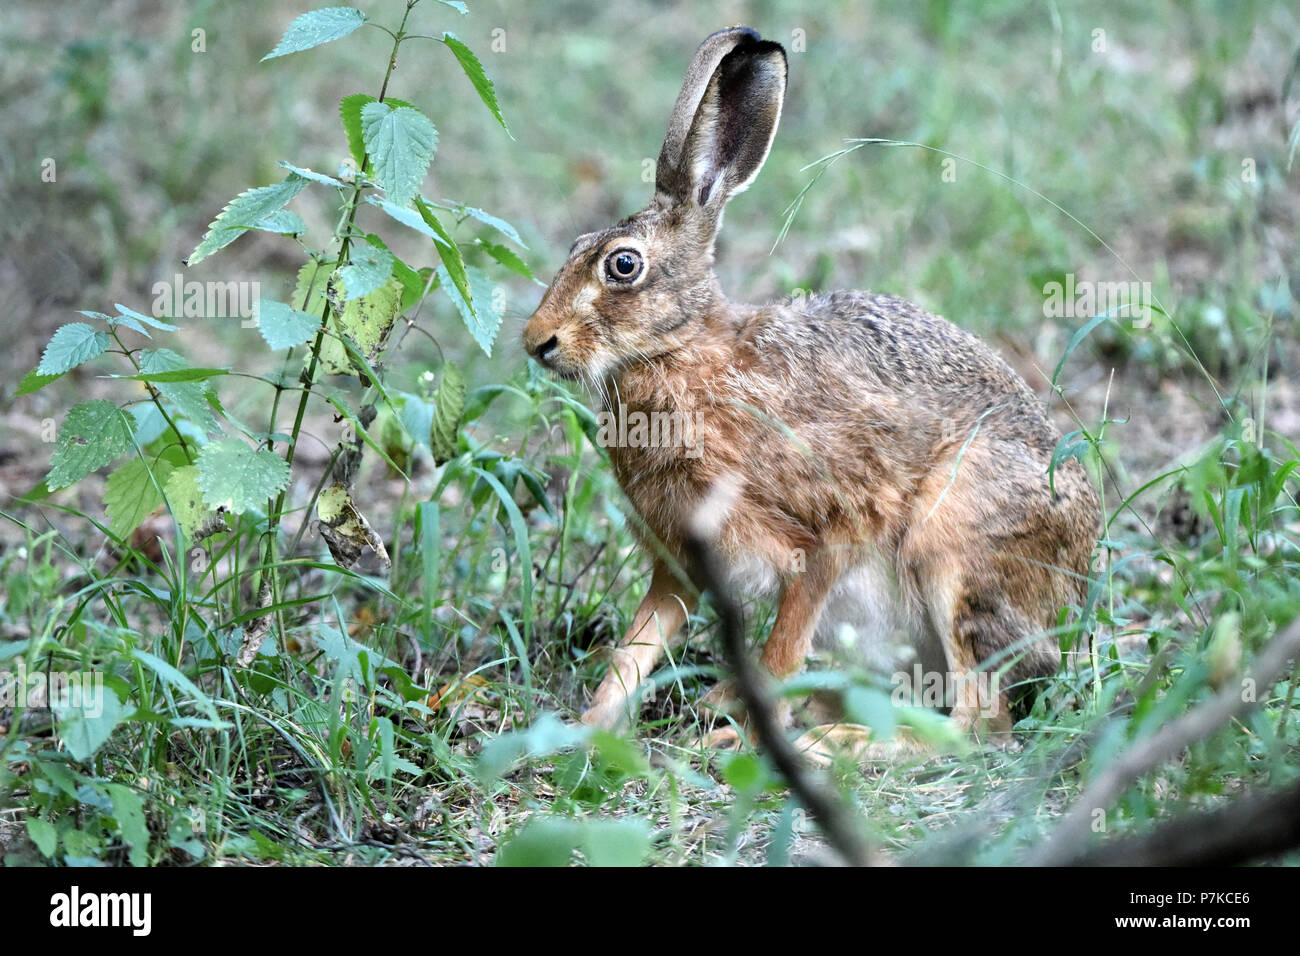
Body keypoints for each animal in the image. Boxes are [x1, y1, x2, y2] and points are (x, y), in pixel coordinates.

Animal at [522, 26, 1100, 752]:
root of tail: (1072, 606)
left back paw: (833, 744)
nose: (536, 341)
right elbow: (634, 650)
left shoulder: (822, 541)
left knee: (977, 723)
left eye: (622, 266)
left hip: (956, 545)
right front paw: (586, 731)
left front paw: (740, 743)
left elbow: (778, 657)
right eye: (575, 244)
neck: (684, 351)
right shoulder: (680, 564)